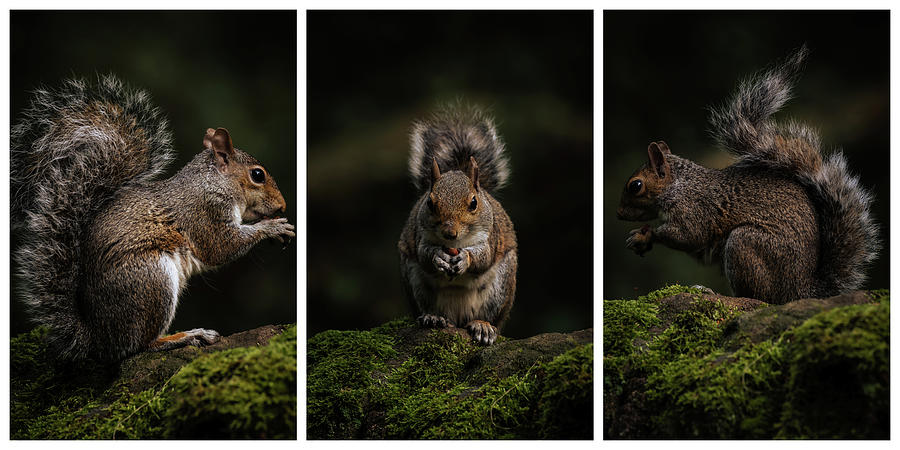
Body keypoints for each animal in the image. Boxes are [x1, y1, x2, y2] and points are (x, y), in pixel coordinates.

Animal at [10, 75, 296, 362]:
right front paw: (272, 227)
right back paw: (184, 336)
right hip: (152, 279)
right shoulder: (204, 213)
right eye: (257, 175)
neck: (213, 182)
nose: (283, 206)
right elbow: (220, 246)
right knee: (140, 345)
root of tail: (98, 339)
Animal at [397, 105, 518, 345]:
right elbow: (424, 254)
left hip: (501, 285)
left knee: (489, 317)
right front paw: (438, 256)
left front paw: (466, 258)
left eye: (474, 203)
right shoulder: (420, 235)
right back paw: (434, 318)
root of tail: (458, 319)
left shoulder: (490, 236)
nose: (449, 233)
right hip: (415, 282)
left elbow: (484, 256)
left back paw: (483, 326)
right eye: (429, 202)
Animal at [616, 46, 880, 304]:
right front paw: (640, 239)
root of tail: (801, 291)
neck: (680, 185)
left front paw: (646, 235)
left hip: (744, 244)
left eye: (635, 186)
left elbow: (688, 235)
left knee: (758, 297)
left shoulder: (694, 210)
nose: (618, 214)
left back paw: (711, 292)